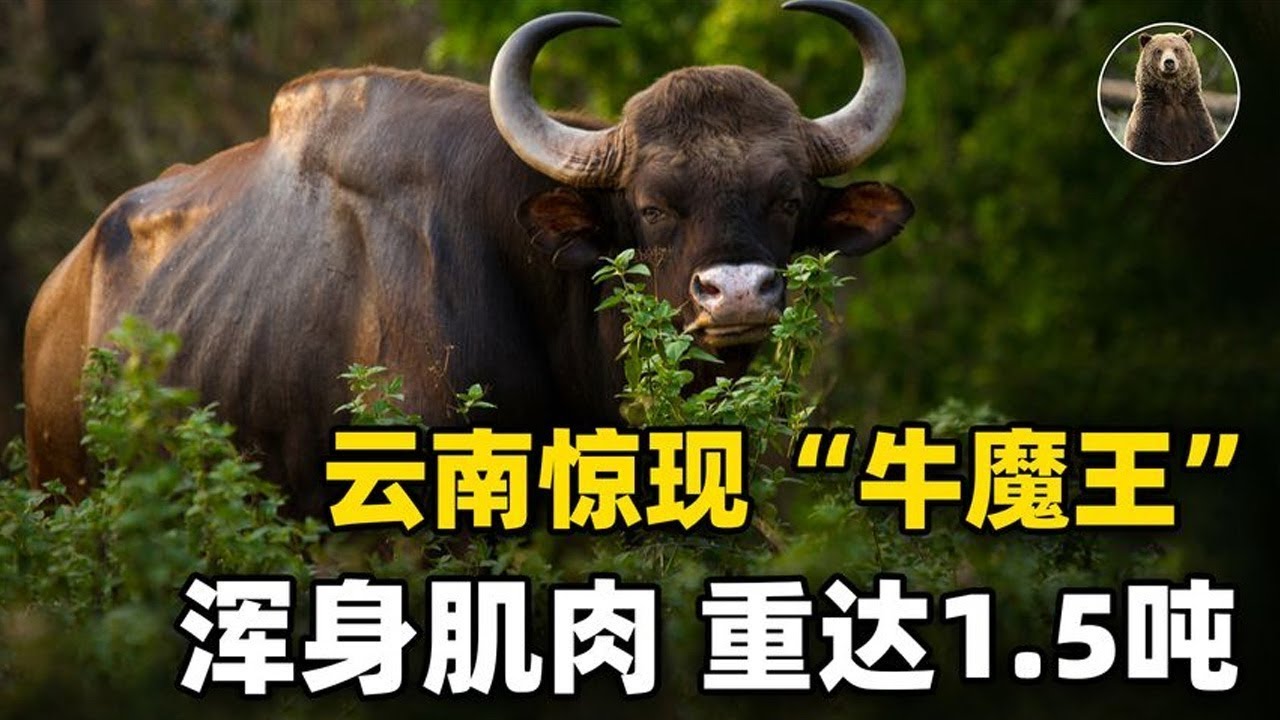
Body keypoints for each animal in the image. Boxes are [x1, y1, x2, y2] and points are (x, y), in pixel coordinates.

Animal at [1123, 29, 1219, 162]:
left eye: (1177, 49)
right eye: (1158, 50)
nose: (1169, 62)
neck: (1172, 96)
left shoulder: (1196, 118)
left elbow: (1206, 140)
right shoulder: (1147, 121)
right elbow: (1140, 146)